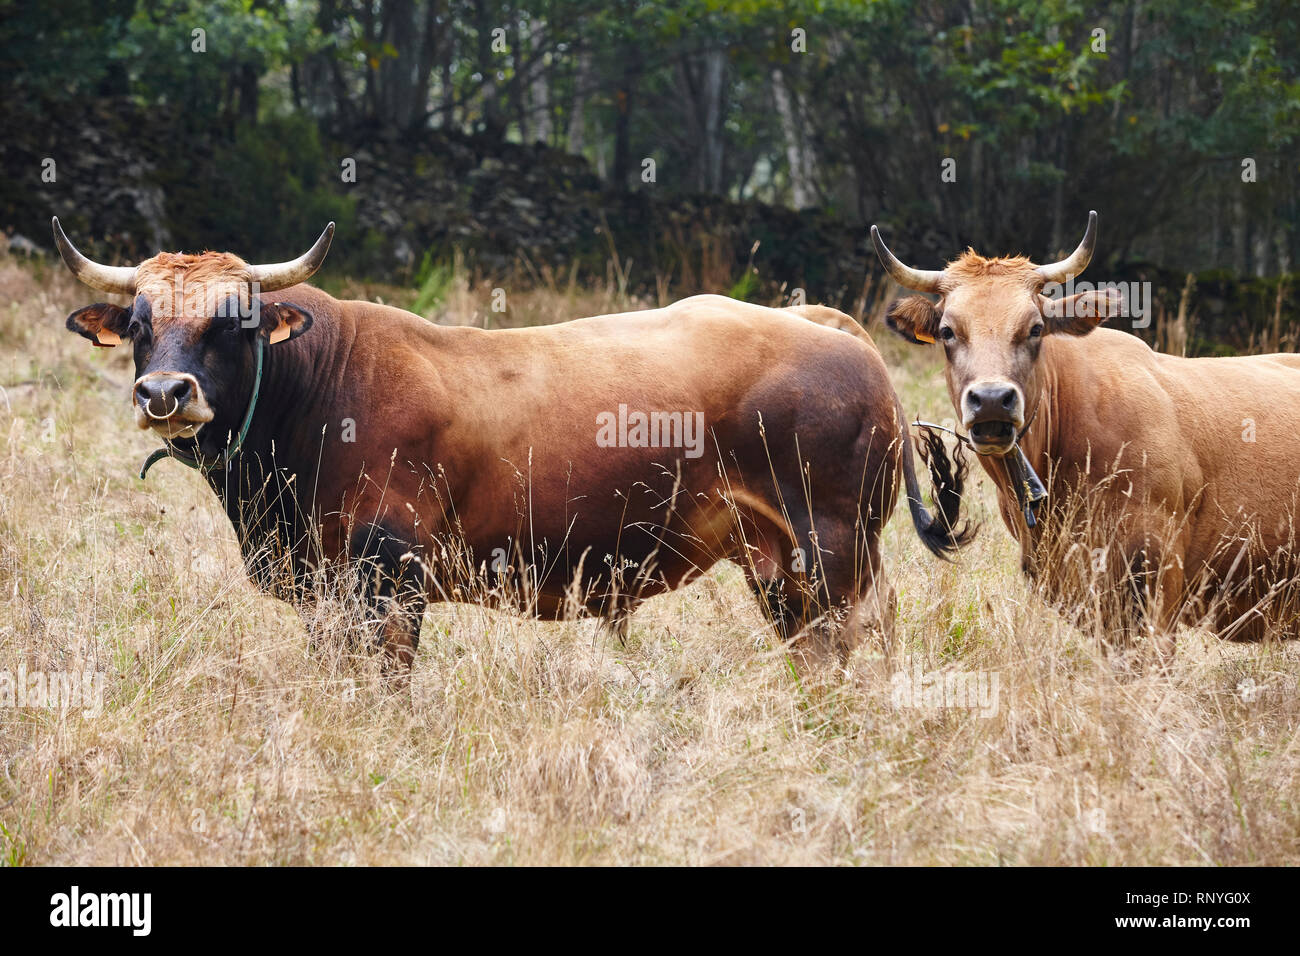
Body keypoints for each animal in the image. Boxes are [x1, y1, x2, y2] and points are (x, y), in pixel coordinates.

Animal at [53, 218, 973, 677]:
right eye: (141, 323)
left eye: (232, 321)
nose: (163, 394)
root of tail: (823, 323)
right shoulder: (323, 589)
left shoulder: (387, 576)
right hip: (777, 561)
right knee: (813, 647)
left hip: (838, 543)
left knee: (866, 636)